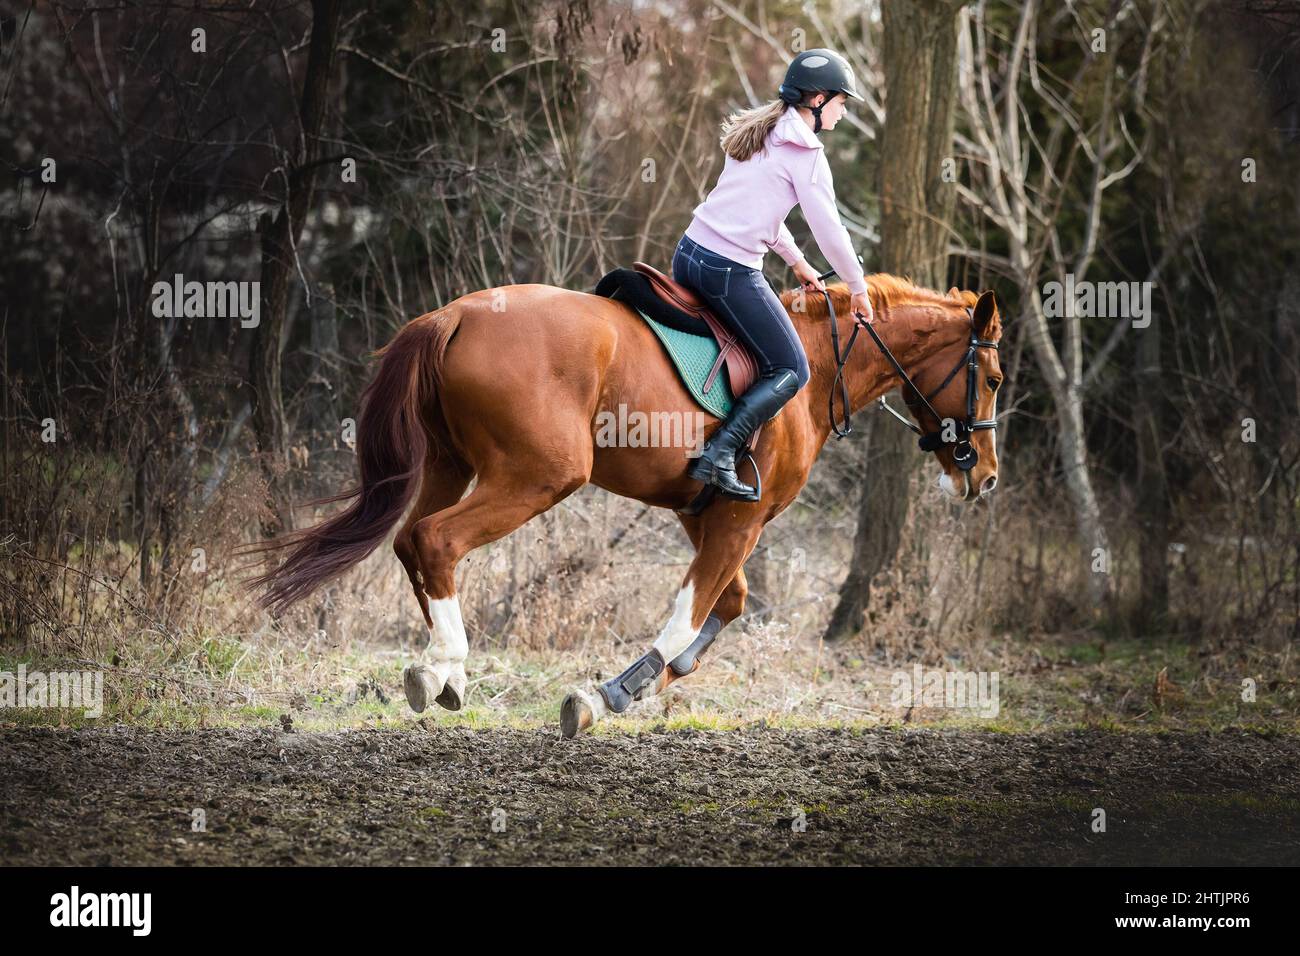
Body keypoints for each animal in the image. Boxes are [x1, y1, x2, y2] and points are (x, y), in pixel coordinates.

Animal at [248, 273, 1003, 736]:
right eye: (993, 377)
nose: (988, 479)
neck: (817, 366)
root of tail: (454, 313)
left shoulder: (705, 514)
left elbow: (725, 606)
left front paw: (654, 682)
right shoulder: (740, 520)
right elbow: (686, 616)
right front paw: (606, 695)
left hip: (448, 465)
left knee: (410, 540)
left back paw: (444, 671)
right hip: (537, 477)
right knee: (435, 541)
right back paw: (442, 666)